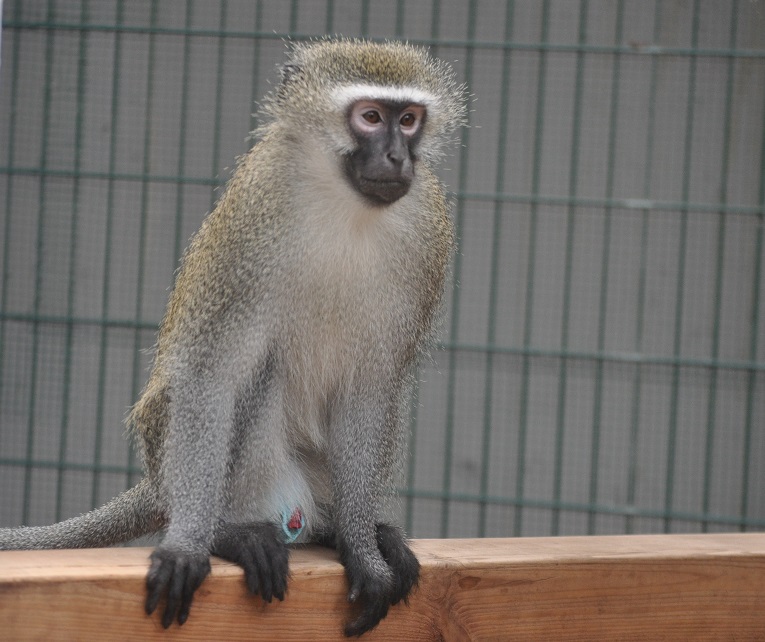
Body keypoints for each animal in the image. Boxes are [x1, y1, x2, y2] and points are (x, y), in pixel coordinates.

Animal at [0, 38, 467, 637]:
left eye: (409, 120)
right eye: (369, 117)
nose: (397, 158)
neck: (343, 205)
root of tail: (162, 481)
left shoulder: (429, 230)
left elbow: (371, 391)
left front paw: (364, 551)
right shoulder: (252, 219)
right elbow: (211, 372)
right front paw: (191, 544)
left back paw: (340, 528)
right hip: (183, 452)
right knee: (254, 373)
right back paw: (230, 530)